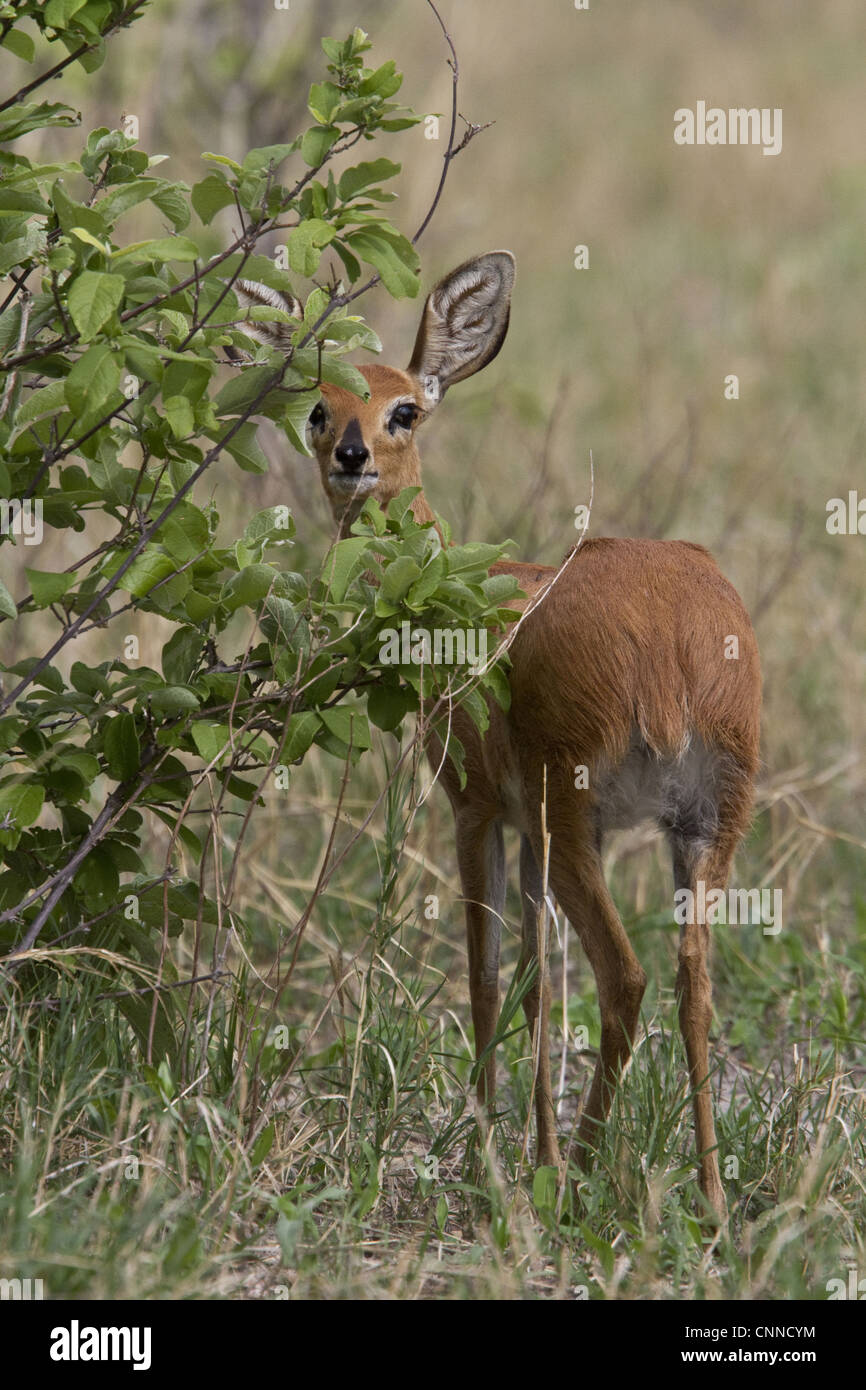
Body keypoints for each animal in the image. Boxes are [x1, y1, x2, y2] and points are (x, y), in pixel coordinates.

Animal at [236, 252, 762, 1220]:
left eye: (404, 407)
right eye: (317, 405)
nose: (351, 458)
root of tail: (671, 643)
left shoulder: (476, 806)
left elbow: (485, 974)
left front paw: (493, 1157)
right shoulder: (528, 831)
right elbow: (533, 979)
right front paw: (532, 1155)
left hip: (575, 813)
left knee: (626, 976)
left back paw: (585, 1175)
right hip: (706, 820)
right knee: (693, 981)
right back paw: (707, 1198)